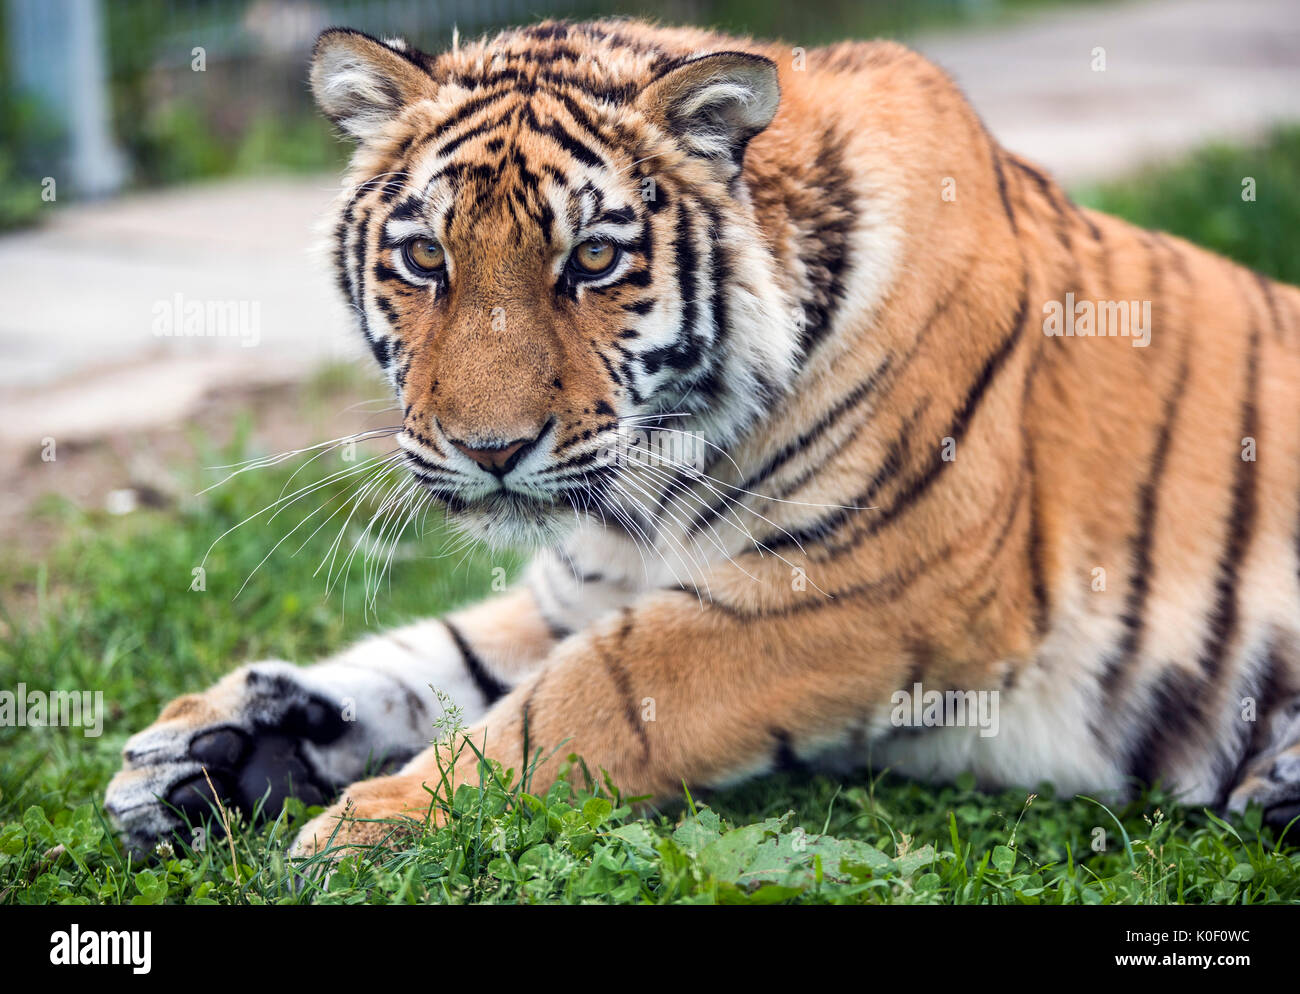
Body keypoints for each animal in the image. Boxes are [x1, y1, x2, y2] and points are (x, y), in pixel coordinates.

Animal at [106, 19, 1300, 862]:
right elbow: (423, 660)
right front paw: (205, 749)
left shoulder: (866, 588)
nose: (489, 449)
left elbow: (586, 699)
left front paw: (368, 824)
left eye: (592, 261)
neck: (653, 486)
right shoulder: (581, 586)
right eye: (424, 259)